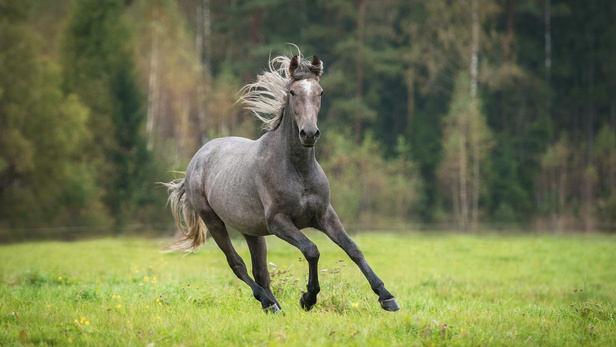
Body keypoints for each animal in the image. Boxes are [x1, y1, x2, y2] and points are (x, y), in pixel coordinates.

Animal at [161, 48, 400, 312]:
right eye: (293, 92)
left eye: (320, 92)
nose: (309, 133)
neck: (298, 170)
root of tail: (196, 160)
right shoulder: (279, 222)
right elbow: (311, 250)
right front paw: (308, 298)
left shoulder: (325, 215)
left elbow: (353, 250)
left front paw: (386, 296)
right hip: (214, 222)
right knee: (237, 264)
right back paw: (268, 302)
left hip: (251, 230)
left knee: (260, 271)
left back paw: (273, 307)